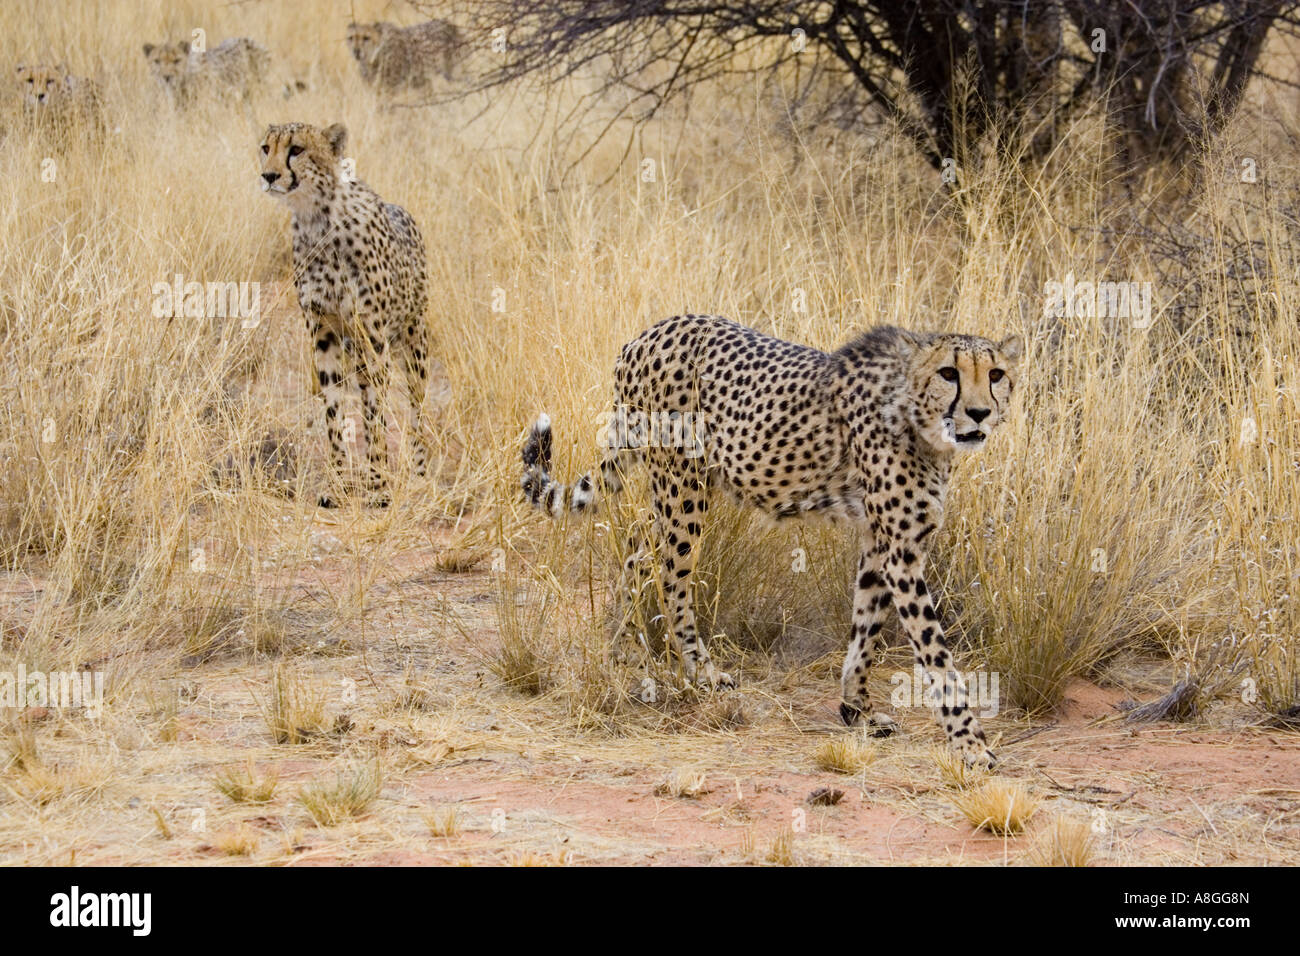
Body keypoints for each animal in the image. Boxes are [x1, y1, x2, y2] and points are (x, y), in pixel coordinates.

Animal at [259, 122, 431, 507]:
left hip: (414, 340)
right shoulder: (323, 333)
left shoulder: (374, 337)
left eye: (296, 149)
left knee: (417, 409)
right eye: (265, 148)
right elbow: (334, 412)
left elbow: (376, 416)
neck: (317, 218)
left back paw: (420, 472)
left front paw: (379, 485)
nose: (268, 175)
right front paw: (337, 483)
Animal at [521, 314, 1023, 768]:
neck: (918, 418)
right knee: (671, 576)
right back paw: (697, 671)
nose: (979, 413)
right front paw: (970, 744)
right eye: (949, 373)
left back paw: (624, 651)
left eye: (995, 375)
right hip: (683, 486)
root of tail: (648, 333)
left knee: (636, 545)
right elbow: (936, 654)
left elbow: (865, 628)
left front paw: (856, 710)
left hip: (674, 489)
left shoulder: (880, 540)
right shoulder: (900, 550)